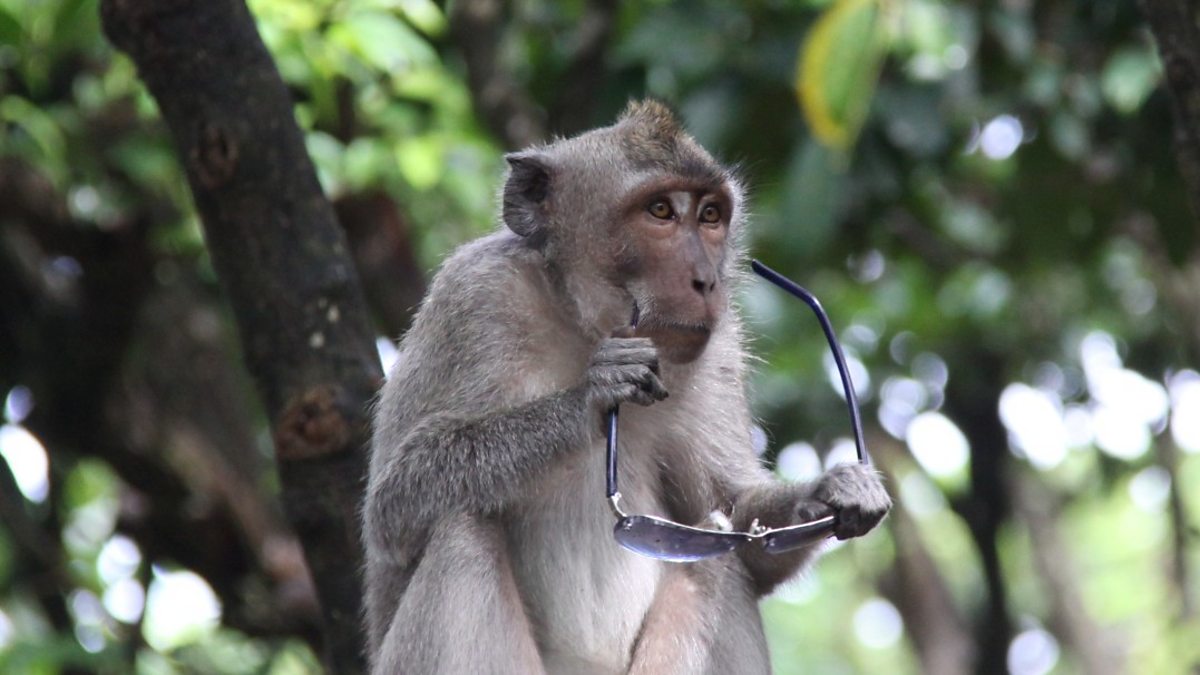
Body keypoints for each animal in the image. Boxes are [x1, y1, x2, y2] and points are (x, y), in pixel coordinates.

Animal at [361, 100, 891, 674]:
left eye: (710, 216)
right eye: (660, 211)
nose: (707, 280)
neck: (581, 322)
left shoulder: (718, 348)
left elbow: (742, 530)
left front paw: (831, 492)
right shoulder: (472, 297)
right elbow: (393, 508)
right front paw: (591, 396)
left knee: (719, 559)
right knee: (461, 531)